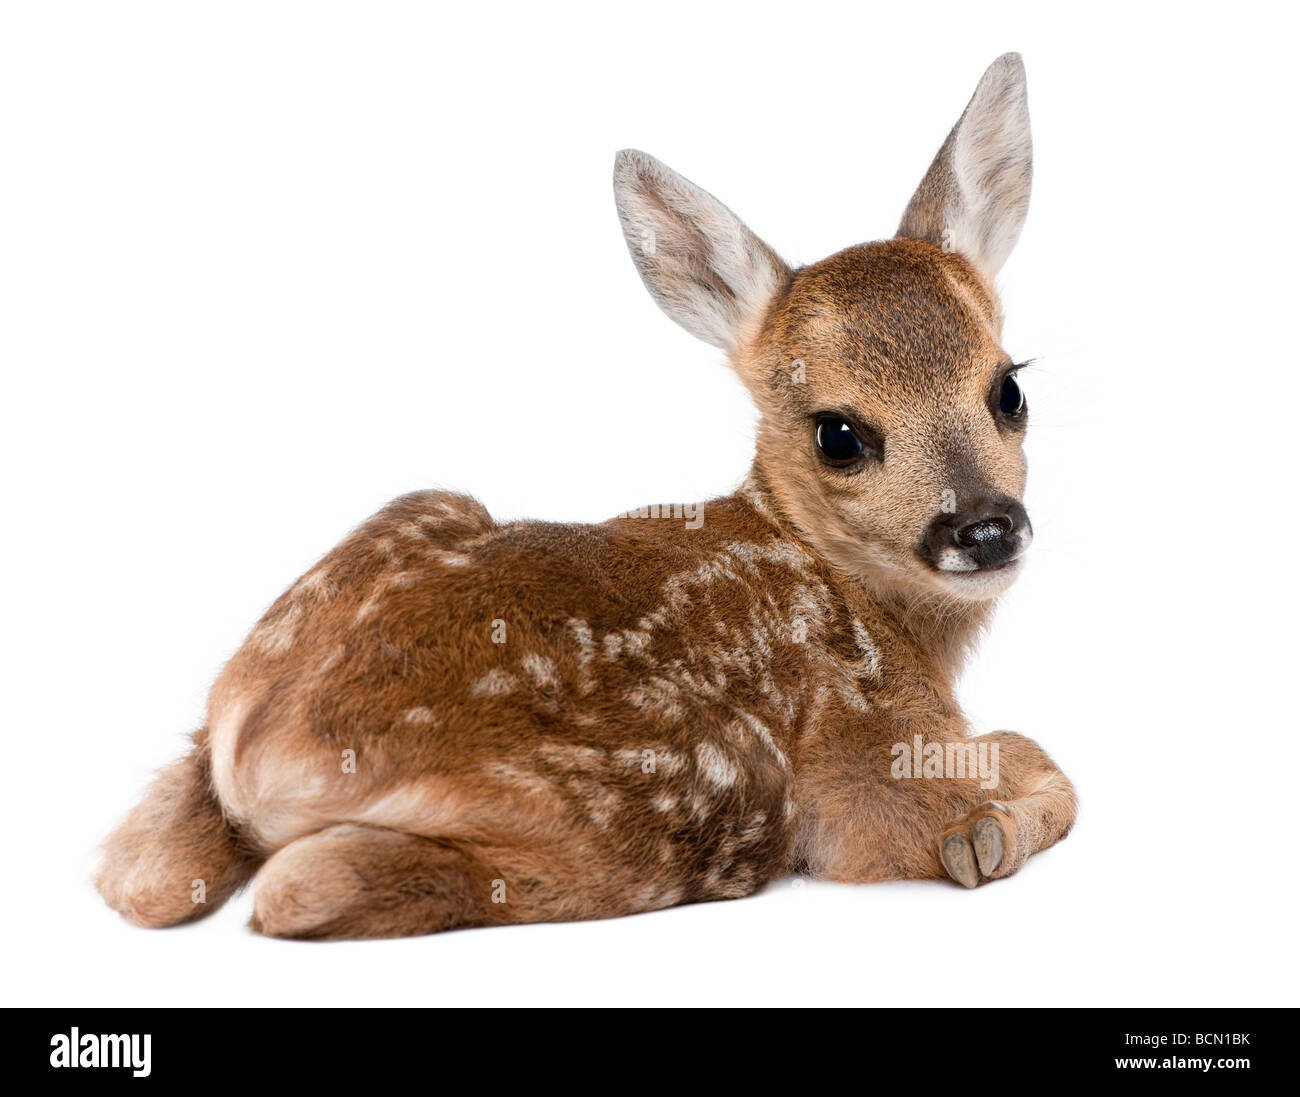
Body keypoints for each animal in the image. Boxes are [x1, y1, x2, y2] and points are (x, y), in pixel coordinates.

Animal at [96, 53, 1076, 939]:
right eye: (839, 433)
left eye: (1009, 388)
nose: (985, 527)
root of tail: (264, 751)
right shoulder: (865, 769)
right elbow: (1040, 776)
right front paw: (986, 837)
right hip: (692, 798)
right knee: (303, 884)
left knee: (137, 876)